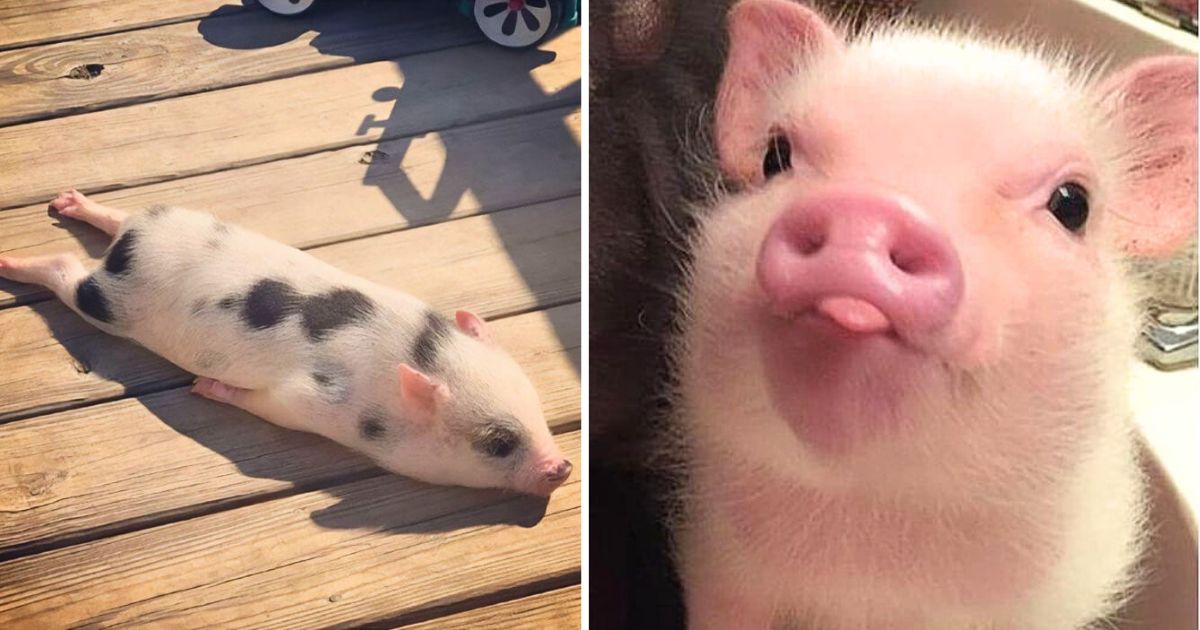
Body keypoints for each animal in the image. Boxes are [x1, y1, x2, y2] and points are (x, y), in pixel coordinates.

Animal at [0, 191, 572, 496]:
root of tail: (128, 249)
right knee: (66, 270)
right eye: (498, 443)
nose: (563, 466)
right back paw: (11, 261)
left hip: (168, 221)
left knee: (121, 215)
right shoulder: (305, 402)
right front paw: (205, 389)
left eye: (537, 406)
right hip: (110, 303)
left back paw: (67, 202)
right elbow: (266, 404)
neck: (417, 355)